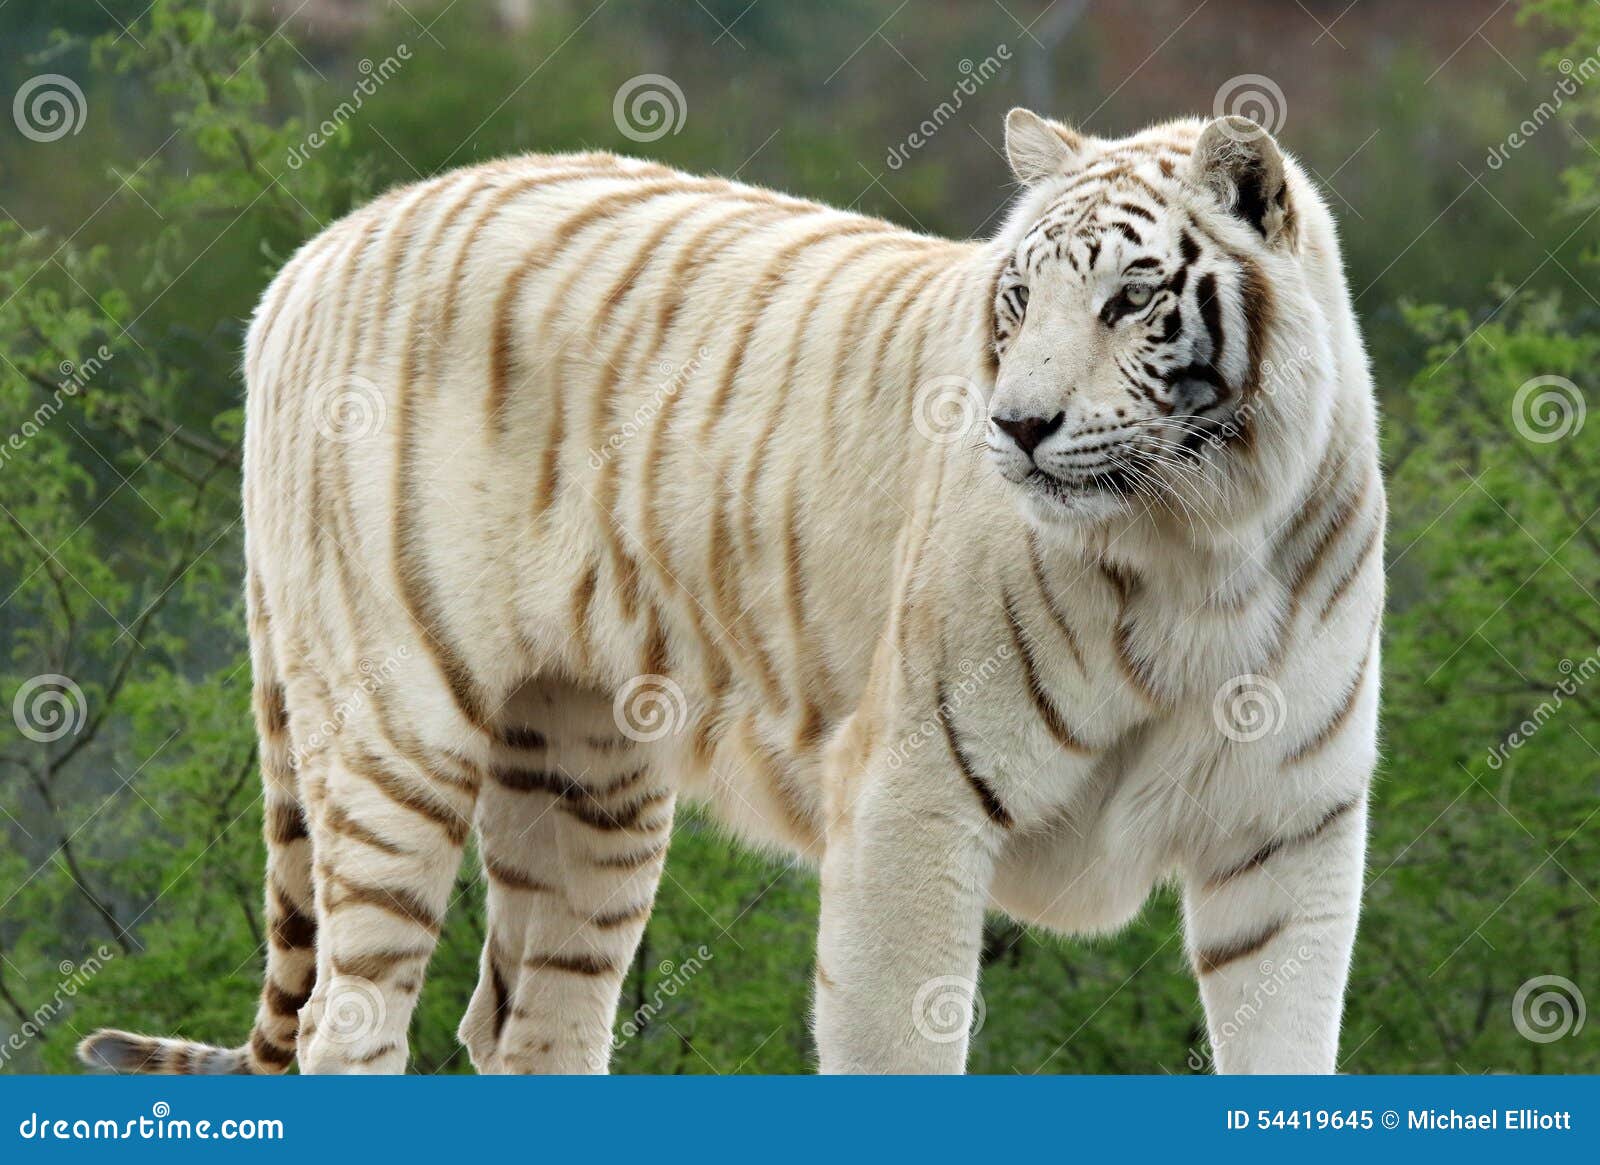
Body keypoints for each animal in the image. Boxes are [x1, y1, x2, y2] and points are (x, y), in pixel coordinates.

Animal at [79, 107, 1383, 1076]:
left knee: (527, 1015)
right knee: (346, 1020)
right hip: (392, 729)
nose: (1017, 424)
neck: (1199, 545)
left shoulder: (1287, 828)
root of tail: (307, 257)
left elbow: (1286, 1048)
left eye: (1129, 299)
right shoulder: (912, 796)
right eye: (1018, 299)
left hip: (589, 774)